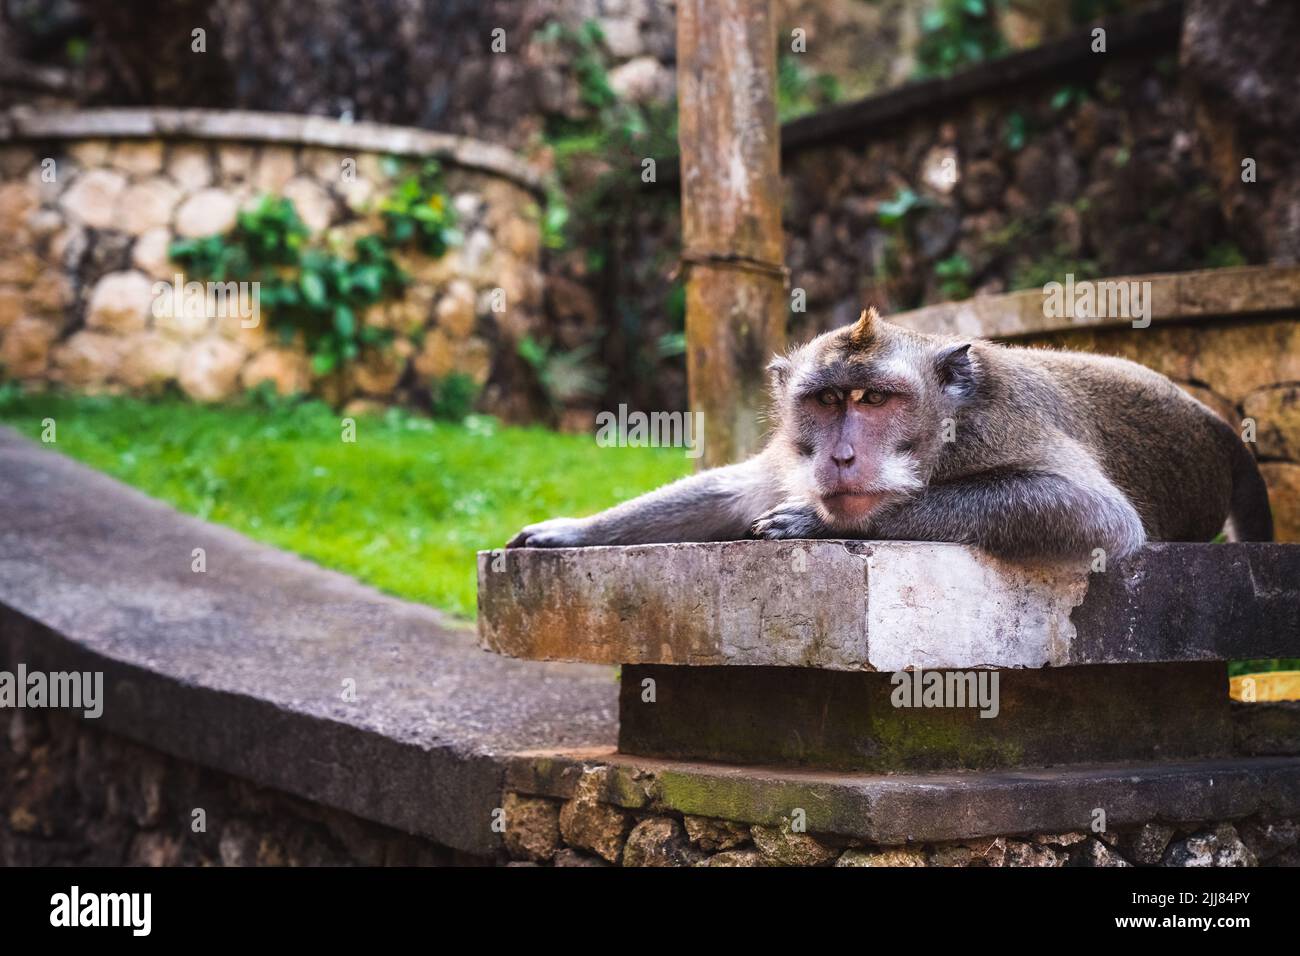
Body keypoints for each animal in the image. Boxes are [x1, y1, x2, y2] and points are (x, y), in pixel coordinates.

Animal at [506, 308, 1272, 560]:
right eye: (826, 400)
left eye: (875, 399)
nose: (843, 454)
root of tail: (1213, 422)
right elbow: (739, 490)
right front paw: (573, 531)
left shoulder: (1000, 429)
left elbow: (1098, 516)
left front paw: (820, 527)